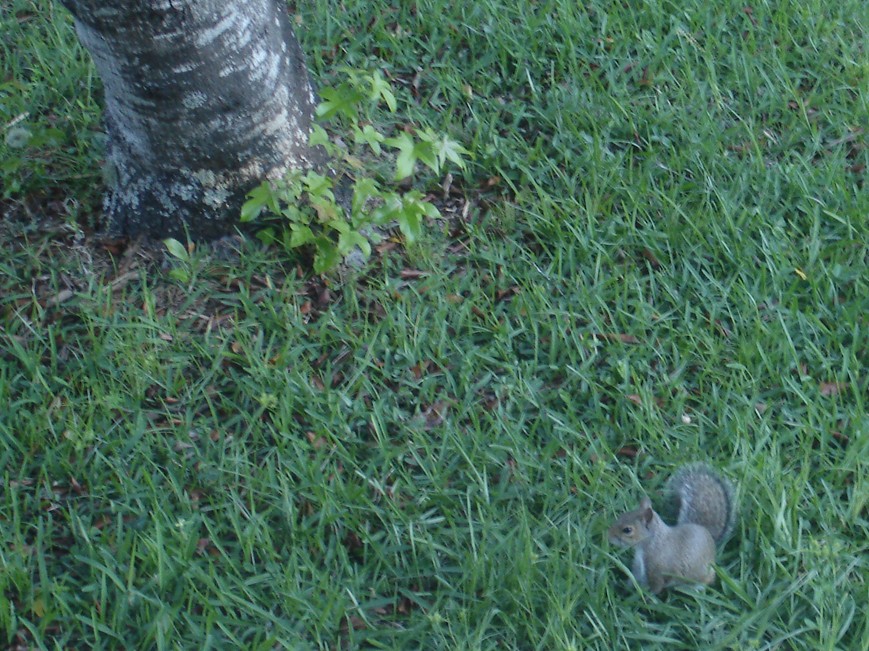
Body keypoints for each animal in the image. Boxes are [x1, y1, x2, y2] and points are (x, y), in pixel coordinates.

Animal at [607, 463, 737, 594]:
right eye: (621, 516)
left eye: (627, 530)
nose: (609, 536)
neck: (650, 544)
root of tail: (708, 534)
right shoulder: (639, 566)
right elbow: (634, 578)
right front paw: (624, 587)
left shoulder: (658, 572)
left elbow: (656, 587)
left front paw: (644, 596)